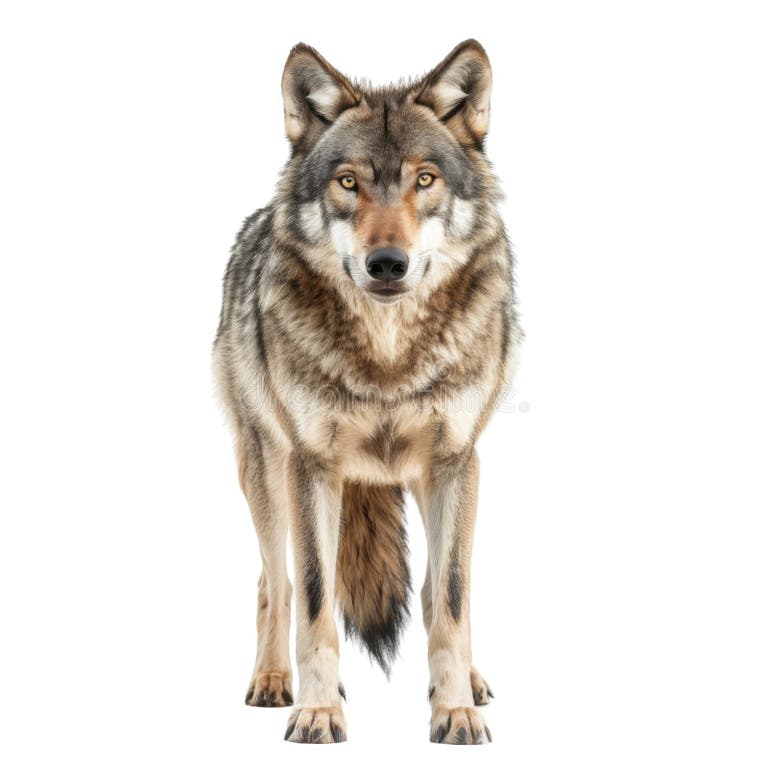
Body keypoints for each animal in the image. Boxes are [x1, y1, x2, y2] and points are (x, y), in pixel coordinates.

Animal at [213, 39, 520, 744]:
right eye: (348, 181)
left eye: (425, 180)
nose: (387, 264)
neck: (387, 359)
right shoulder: (312, 465)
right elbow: (315, 597)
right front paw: (318, 711)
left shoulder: (456, 461)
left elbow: (452, 596)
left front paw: (454, 709)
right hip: (265, 474)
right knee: (274, 583)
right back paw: (273, 681)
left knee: (438, 588)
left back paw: (470, 681)